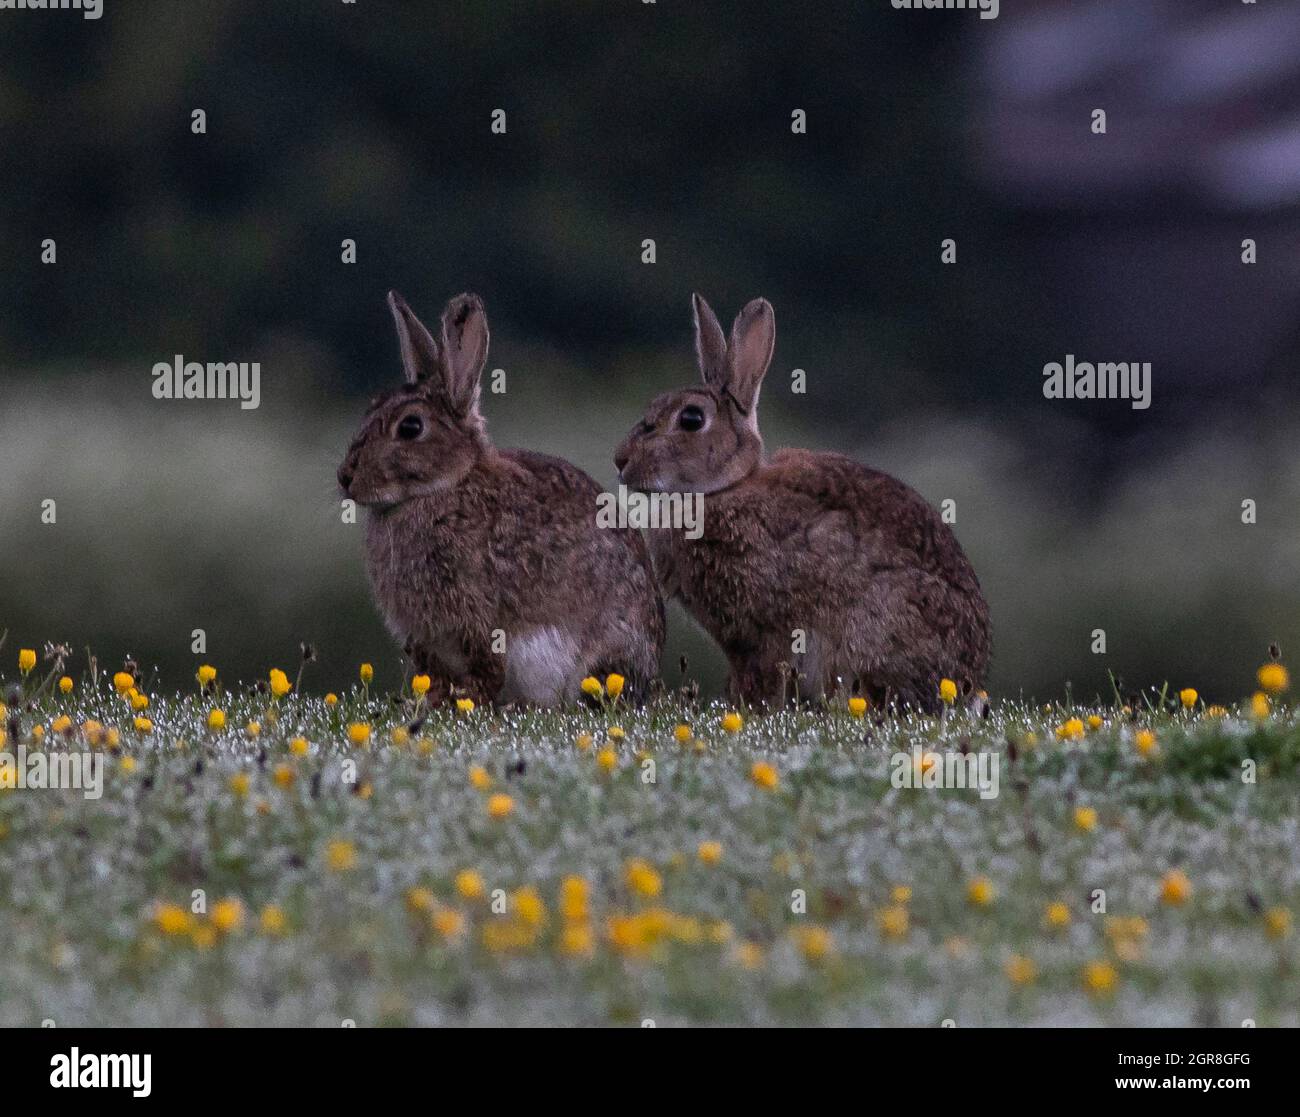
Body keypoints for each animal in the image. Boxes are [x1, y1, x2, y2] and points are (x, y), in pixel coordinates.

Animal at [339, 290, 664, 706]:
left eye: (410, 427)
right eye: (371, 406)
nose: (345, 478)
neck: (445, 486)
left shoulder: (477, 612)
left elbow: (487, 666)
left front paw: (466, 699)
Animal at [613, 294, 990, 713]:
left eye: (691, 419)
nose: (620, 460)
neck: (721, 489)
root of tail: (965, 681)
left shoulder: (765, 629)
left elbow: (761, 672)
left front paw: (750, 707)